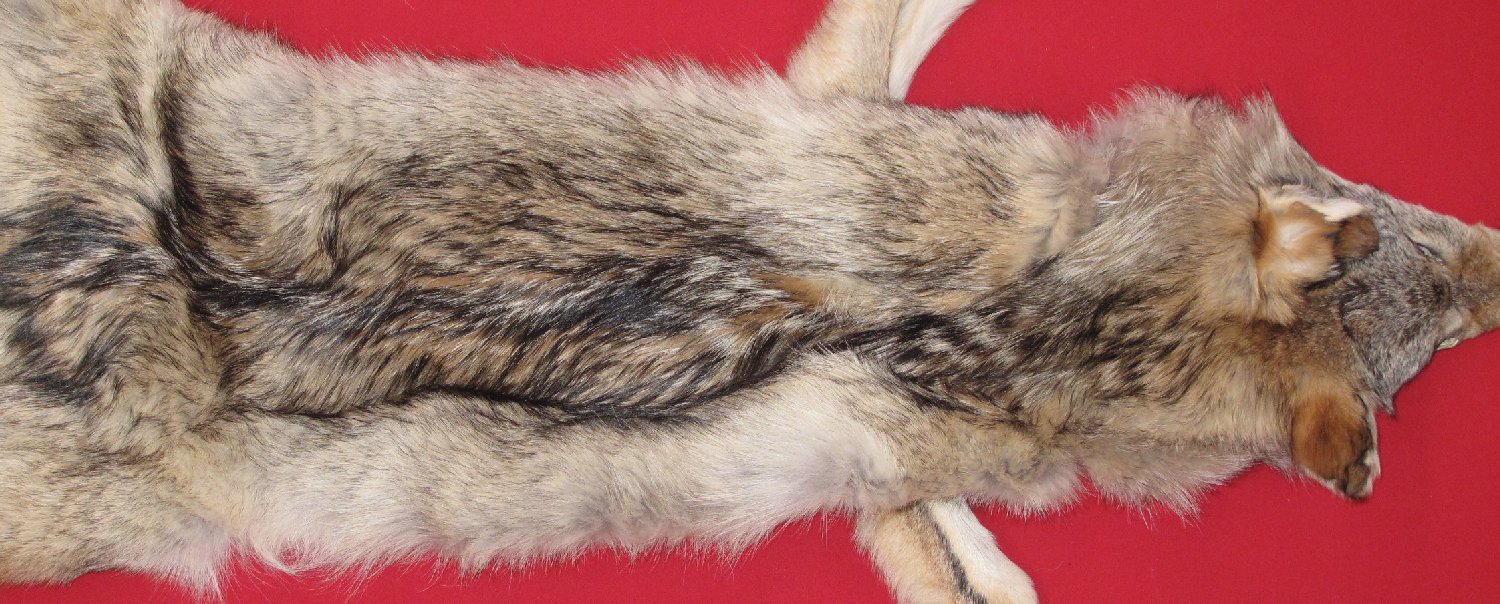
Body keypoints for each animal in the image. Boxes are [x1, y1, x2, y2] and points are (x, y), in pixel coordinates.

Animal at [0, 0, 1495, 602]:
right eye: (1418, 350)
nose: (1496, 252)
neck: (1024, 324)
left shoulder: (888, 484)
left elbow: (963, 555)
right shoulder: (863, 101)